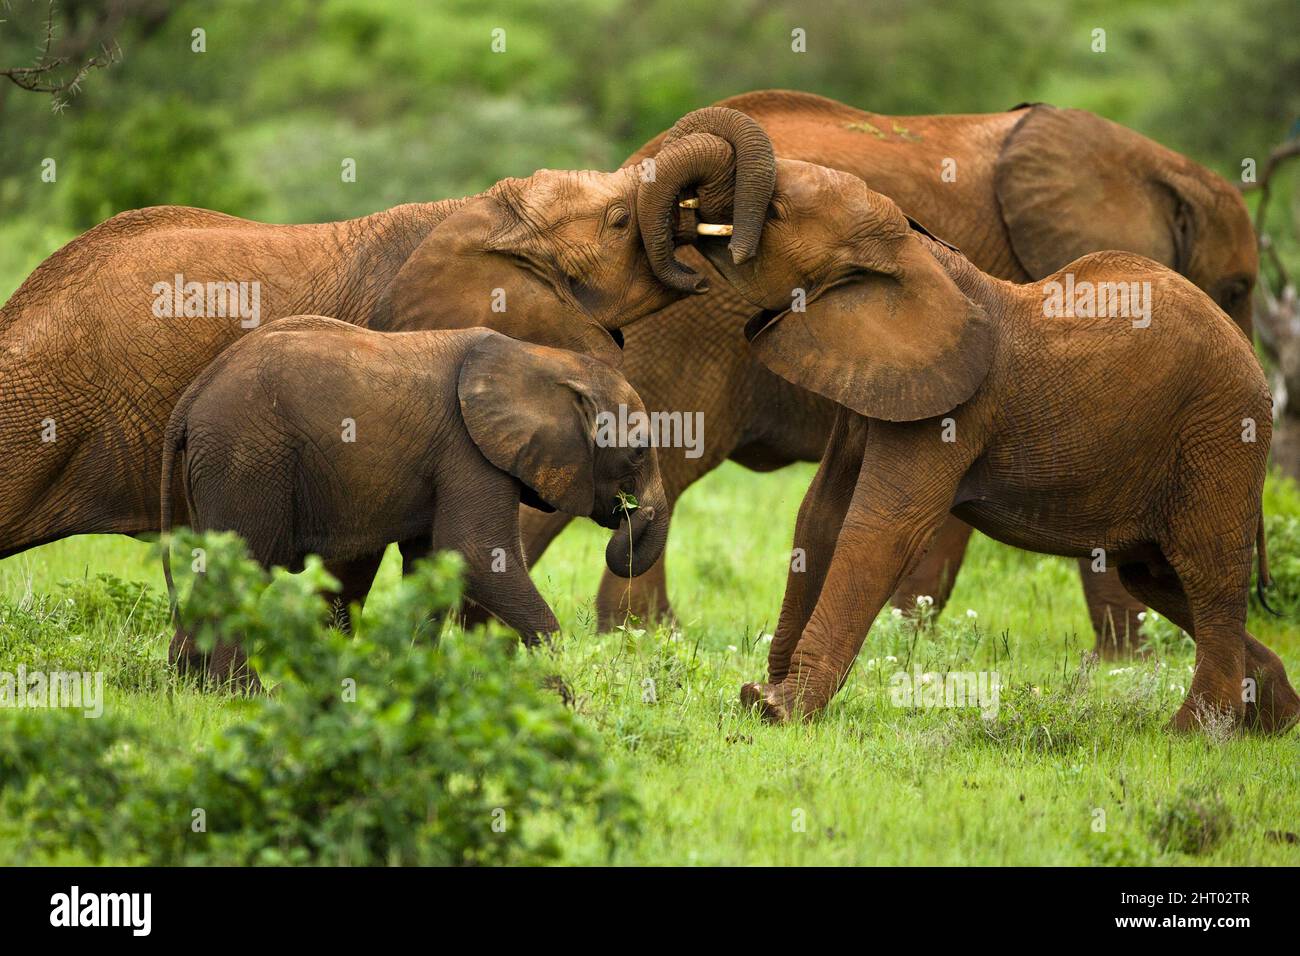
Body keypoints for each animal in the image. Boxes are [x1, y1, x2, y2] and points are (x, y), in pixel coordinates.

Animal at [161, 316, 668, 687]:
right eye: (638, 450)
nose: (631, 512)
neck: (540, 359)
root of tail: (191, 397)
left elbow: (435, 564)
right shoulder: (467, 451)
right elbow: (477, 554)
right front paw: (555, 695)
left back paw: (188, 685)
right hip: (247, 460)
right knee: (243, 569)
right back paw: (241, 694)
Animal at [519, 90, 1259, 658]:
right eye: (1240, 288)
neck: (1155, 167)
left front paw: (910, 636)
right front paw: (1126, 660)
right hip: (689, 332)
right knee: (661, 463)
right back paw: (638, 637)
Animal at [666, 157, 1296, 734]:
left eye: (775, 212)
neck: (913, 249)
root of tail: (1252, 356)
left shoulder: (953, 410)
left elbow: (882, 529)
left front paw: (781, 712)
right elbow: (819, 515)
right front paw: (762, 698)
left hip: (1220, 432)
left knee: (1207, 576)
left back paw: (1195, 732)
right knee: (1156, 577)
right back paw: (1276, 717)